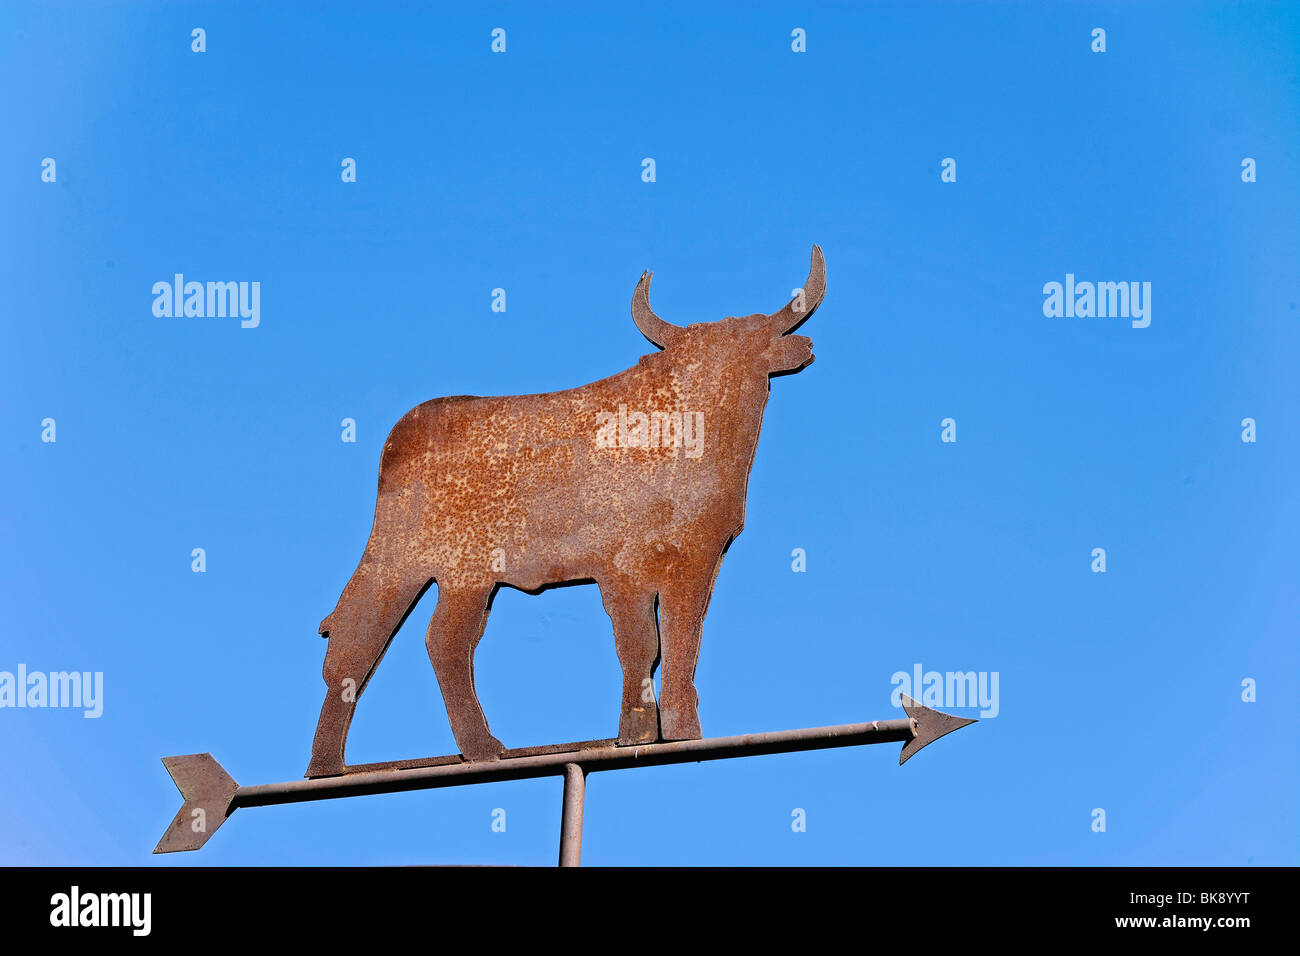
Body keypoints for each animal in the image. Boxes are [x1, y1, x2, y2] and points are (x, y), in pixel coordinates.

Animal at [307, 246, 826, 776]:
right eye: (688, 369)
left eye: (750, 357)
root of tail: (404, 433)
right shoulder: (621, 567)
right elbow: (642, 642)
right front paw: (637, 730)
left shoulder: (700, 557)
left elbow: (685, 635)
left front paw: (681, 730)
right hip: (409, 559)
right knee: (368, 638)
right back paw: (346, 763)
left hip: (461, 576)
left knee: (437, 641)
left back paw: (465, 749)